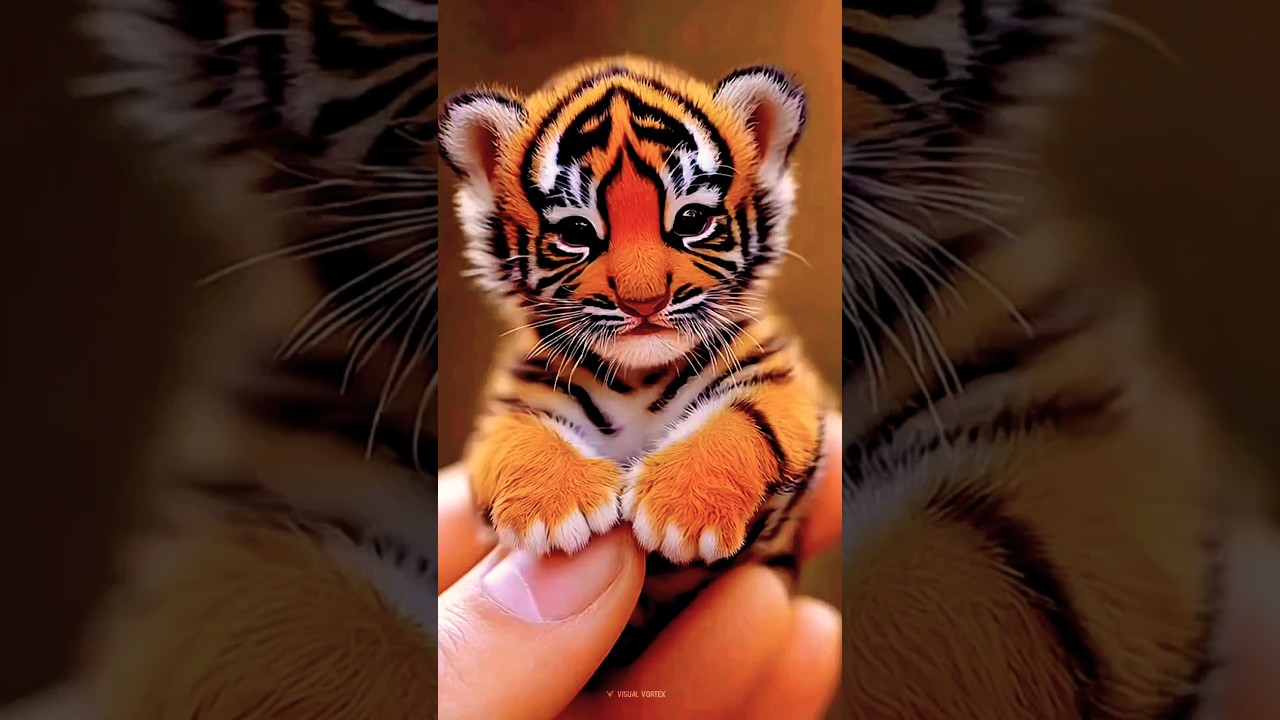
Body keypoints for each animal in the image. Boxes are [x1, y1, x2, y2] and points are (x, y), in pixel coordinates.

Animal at [438, 55, 830, 675]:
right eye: (577, 233)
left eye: (691, 221)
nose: (644, 302)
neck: (640, 375)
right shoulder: (514, 398)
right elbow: (517, 437)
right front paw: (559, 509)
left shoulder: (781, 380)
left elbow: (745, 422)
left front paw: (681, 514)